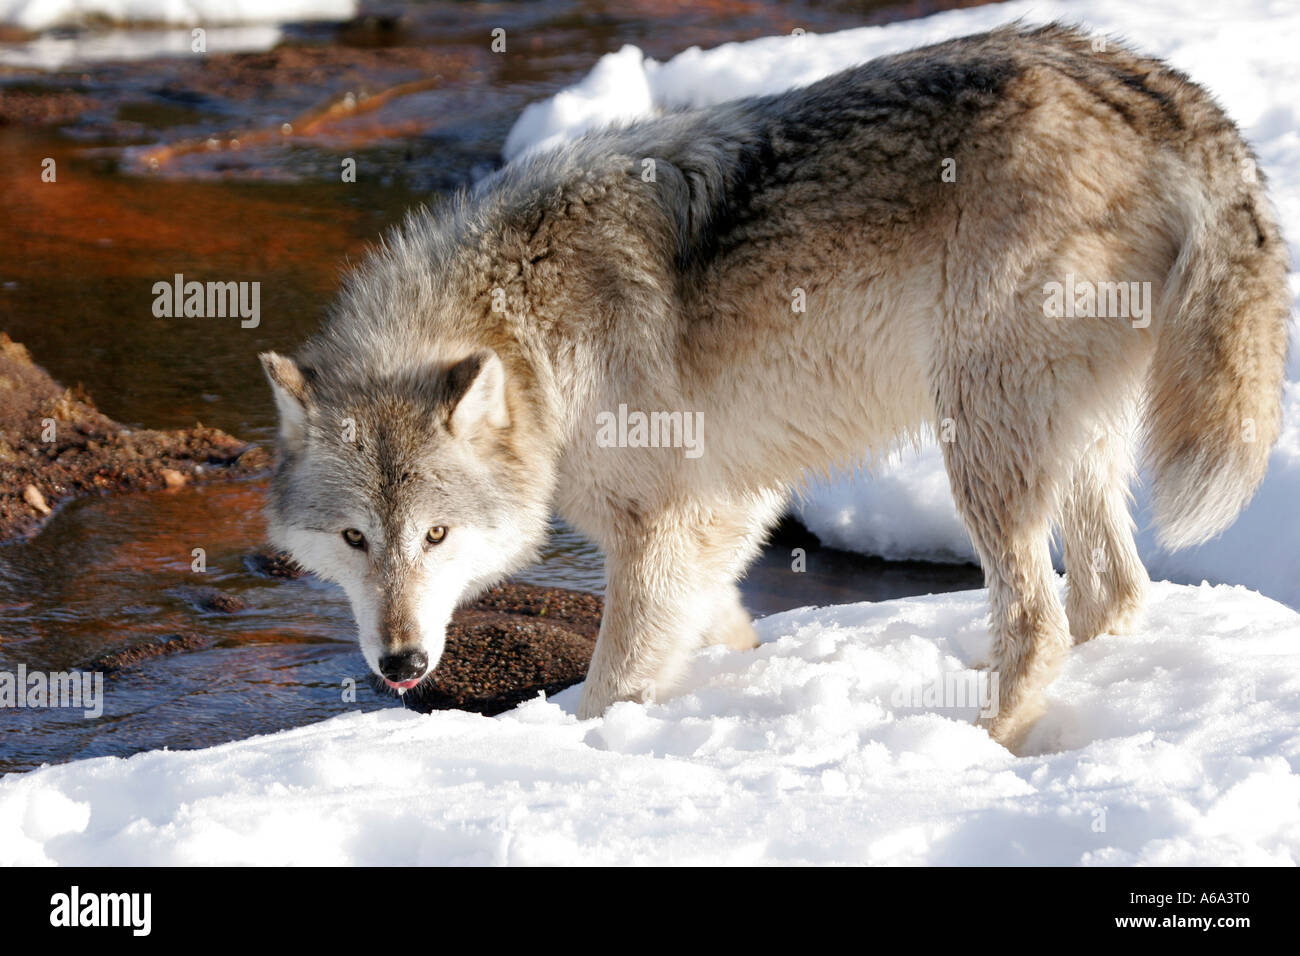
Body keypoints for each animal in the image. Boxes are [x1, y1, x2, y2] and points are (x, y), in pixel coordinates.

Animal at [260, 23, 1290, 748]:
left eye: (436, 535)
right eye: (355, 539)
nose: (400, 662)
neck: (525, 324)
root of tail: (1147, 82)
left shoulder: (665, 522)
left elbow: (614, 680)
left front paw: (585, 757)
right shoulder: (722, 511)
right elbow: (713, 630)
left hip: (980, 442)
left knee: (1041, 624)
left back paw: (973, 743)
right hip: (1065, 440)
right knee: (1113, 595)